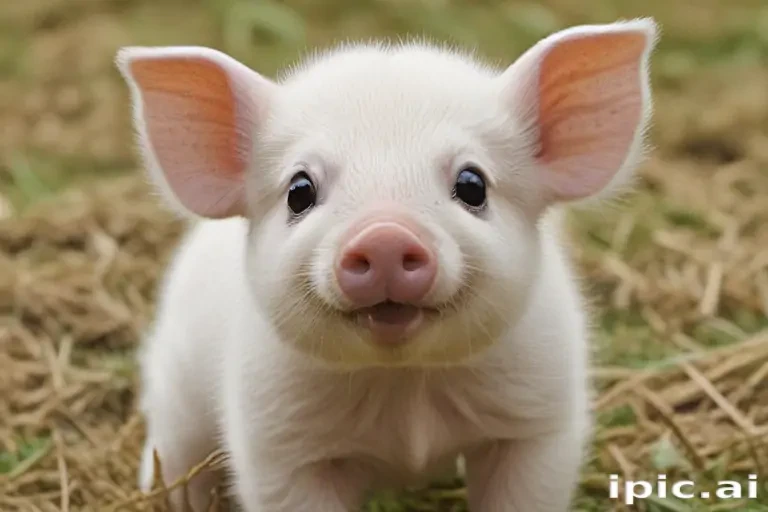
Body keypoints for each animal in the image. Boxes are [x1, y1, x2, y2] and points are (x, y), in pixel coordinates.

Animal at [117, 17, 658, 512]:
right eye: (299, 190)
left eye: (472, 184)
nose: (384, 235)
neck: (405, 391)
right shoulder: (276, 445)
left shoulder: (541, 421)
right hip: (175, 380)